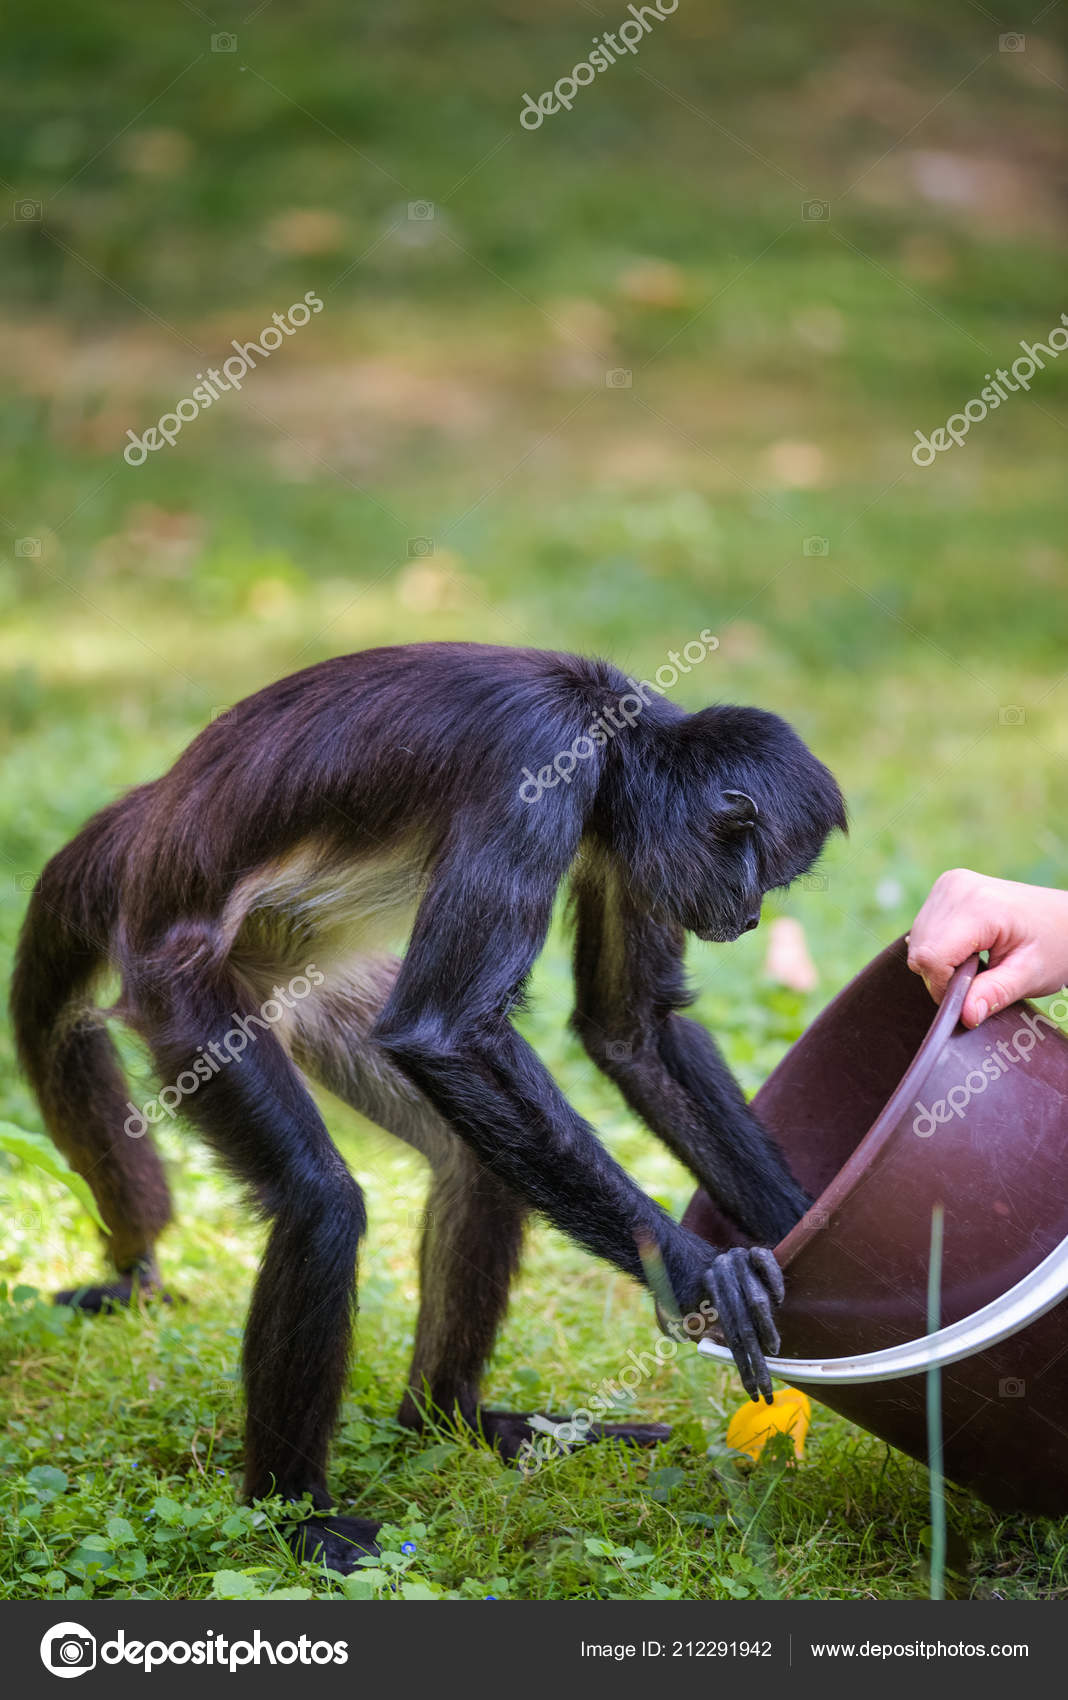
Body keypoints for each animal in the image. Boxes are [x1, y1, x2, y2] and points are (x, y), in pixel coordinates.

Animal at [11, 642, 845, 1574]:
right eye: (762, 873)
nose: (752, 918)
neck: (612, 732)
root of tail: (148, 831)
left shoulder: (617, 842)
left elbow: (627, 1027)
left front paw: (808, 1230)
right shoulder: (539, 766)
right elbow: (444, 1034)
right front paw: (706, 1276)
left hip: (307, 986)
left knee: (476, 1169)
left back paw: (457, 1419)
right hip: (184, 997)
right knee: (321, 1201)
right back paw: (295, 1518)